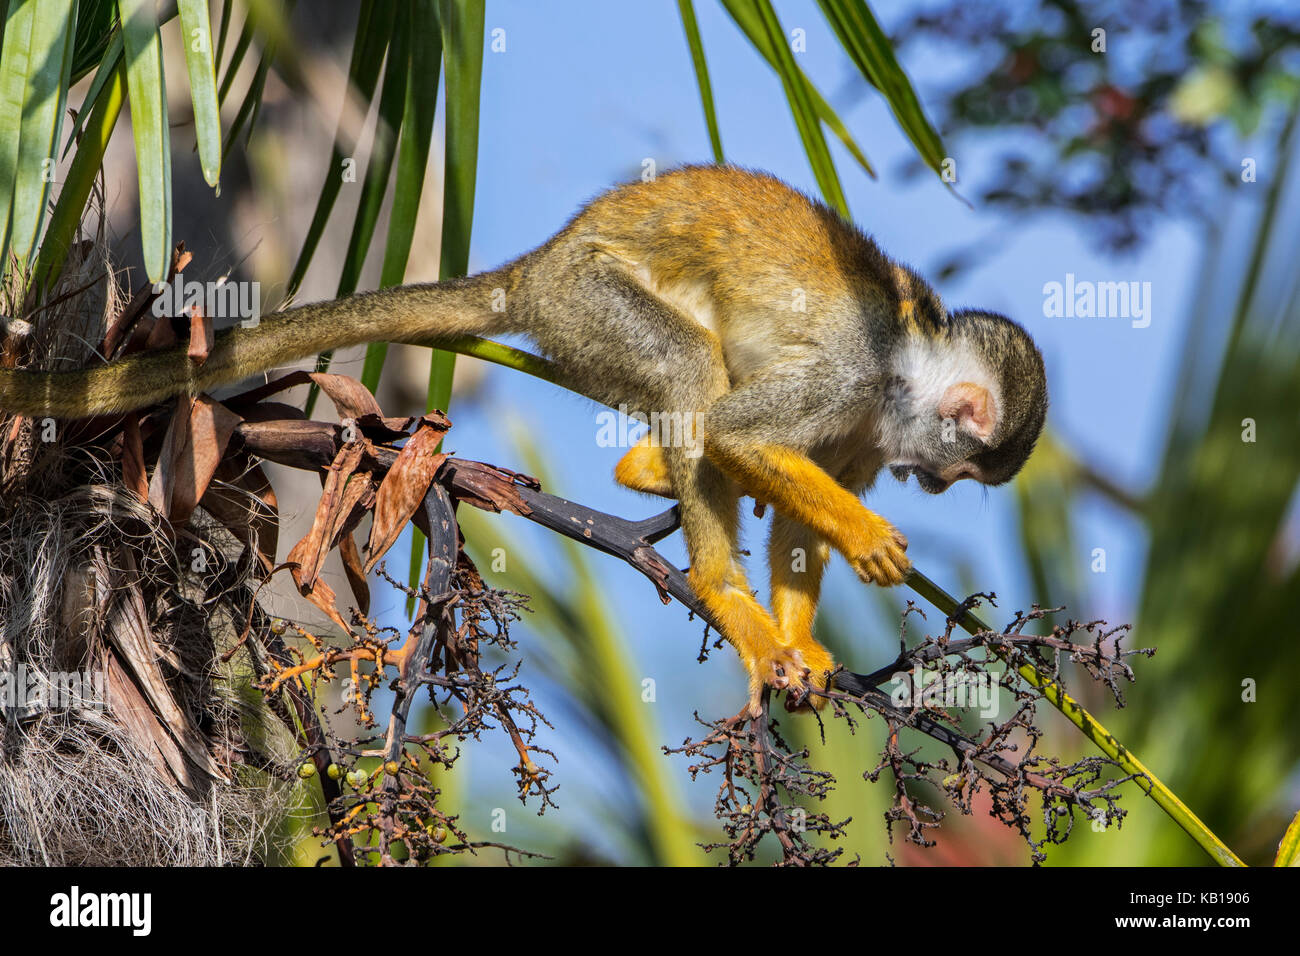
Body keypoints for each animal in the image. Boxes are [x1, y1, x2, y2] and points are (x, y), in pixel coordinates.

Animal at [0, 165, 1047, 714]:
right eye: (958, 472)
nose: (935, 490)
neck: (906, 368)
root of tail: (535, 268)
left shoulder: (869, 431)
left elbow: (801, 504)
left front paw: (805, 648)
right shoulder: (857, 374)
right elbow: (736, 429)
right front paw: (862, 547)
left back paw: (654, 478)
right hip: (587, 302)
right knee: (691, 382)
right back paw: (721, 591)